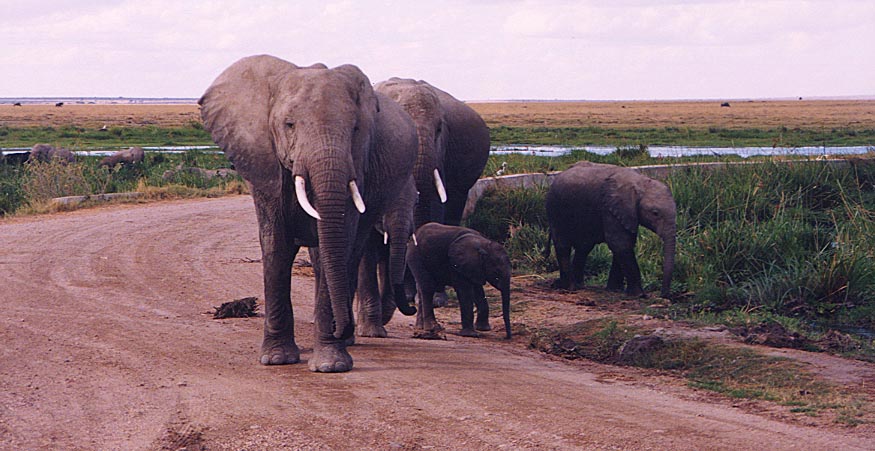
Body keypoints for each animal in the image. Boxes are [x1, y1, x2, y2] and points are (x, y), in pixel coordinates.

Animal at [199, 54, 417, 372]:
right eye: (289, 124)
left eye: (355, 129)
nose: (341, 329)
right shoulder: (266, 165)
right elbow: (276, 246)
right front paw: (277, 359)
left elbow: (336, 247)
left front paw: (331, 364)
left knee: (348, 253)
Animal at [545, 161, 677, 298]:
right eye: (655, 213)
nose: (664, 295)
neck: (640, 182)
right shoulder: (610, 208)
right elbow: (620, 244)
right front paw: (639, 295)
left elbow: (625, 244)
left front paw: (614, 290)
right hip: (555, 209)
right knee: (563, 245)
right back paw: (570, 287)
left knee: (584, 247)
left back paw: (578, 285)